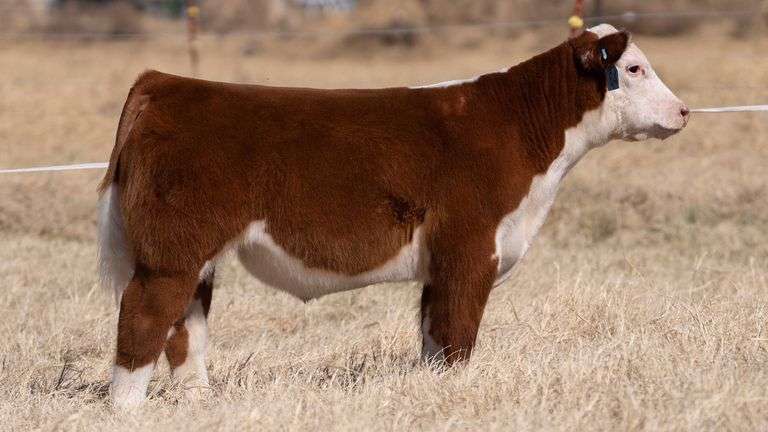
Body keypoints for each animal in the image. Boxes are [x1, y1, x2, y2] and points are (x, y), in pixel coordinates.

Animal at [98, 24, 689, 408]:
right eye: (633, 68)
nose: (683, 111)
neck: (520, 130)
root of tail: (164, 82)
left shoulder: (441, 264)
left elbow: (432, 336)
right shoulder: (470, 248)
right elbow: (457, 335)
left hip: (194, 258)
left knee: (184, 328)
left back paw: (199, 400)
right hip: (169, 256)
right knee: (143, 318)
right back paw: (127, 410)